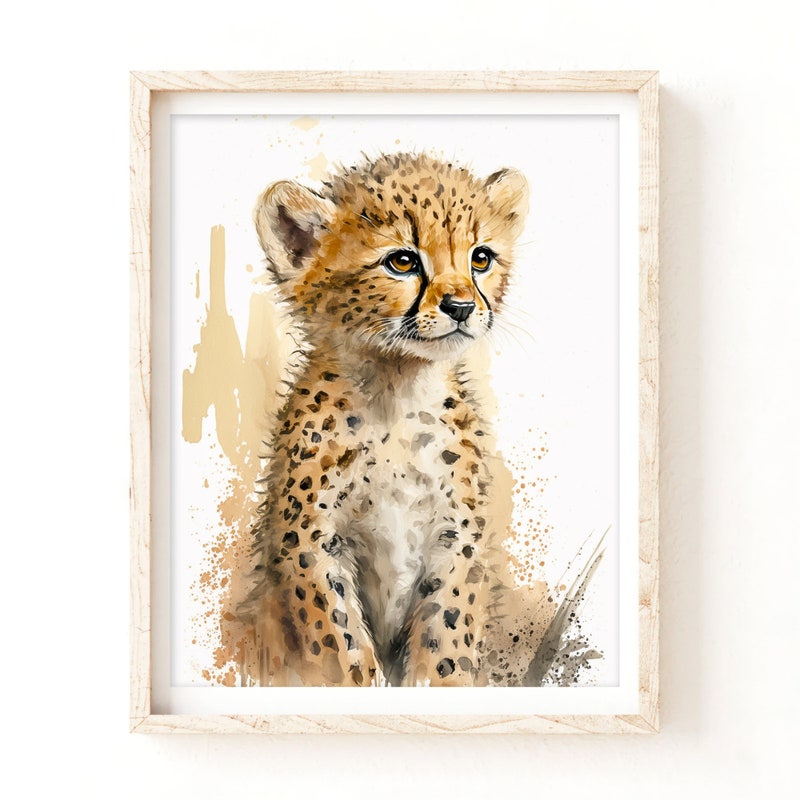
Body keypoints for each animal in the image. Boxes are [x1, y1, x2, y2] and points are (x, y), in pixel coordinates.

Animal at [237, 151, 529, 687]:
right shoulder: (311, 543)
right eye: (402, 261)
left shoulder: (458, 538)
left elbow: (448, 627)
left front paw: (440, 679)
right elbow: (337, 640)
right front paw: (360, 680)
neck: (398, 388)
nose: (461, 307)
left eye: (480, 258)